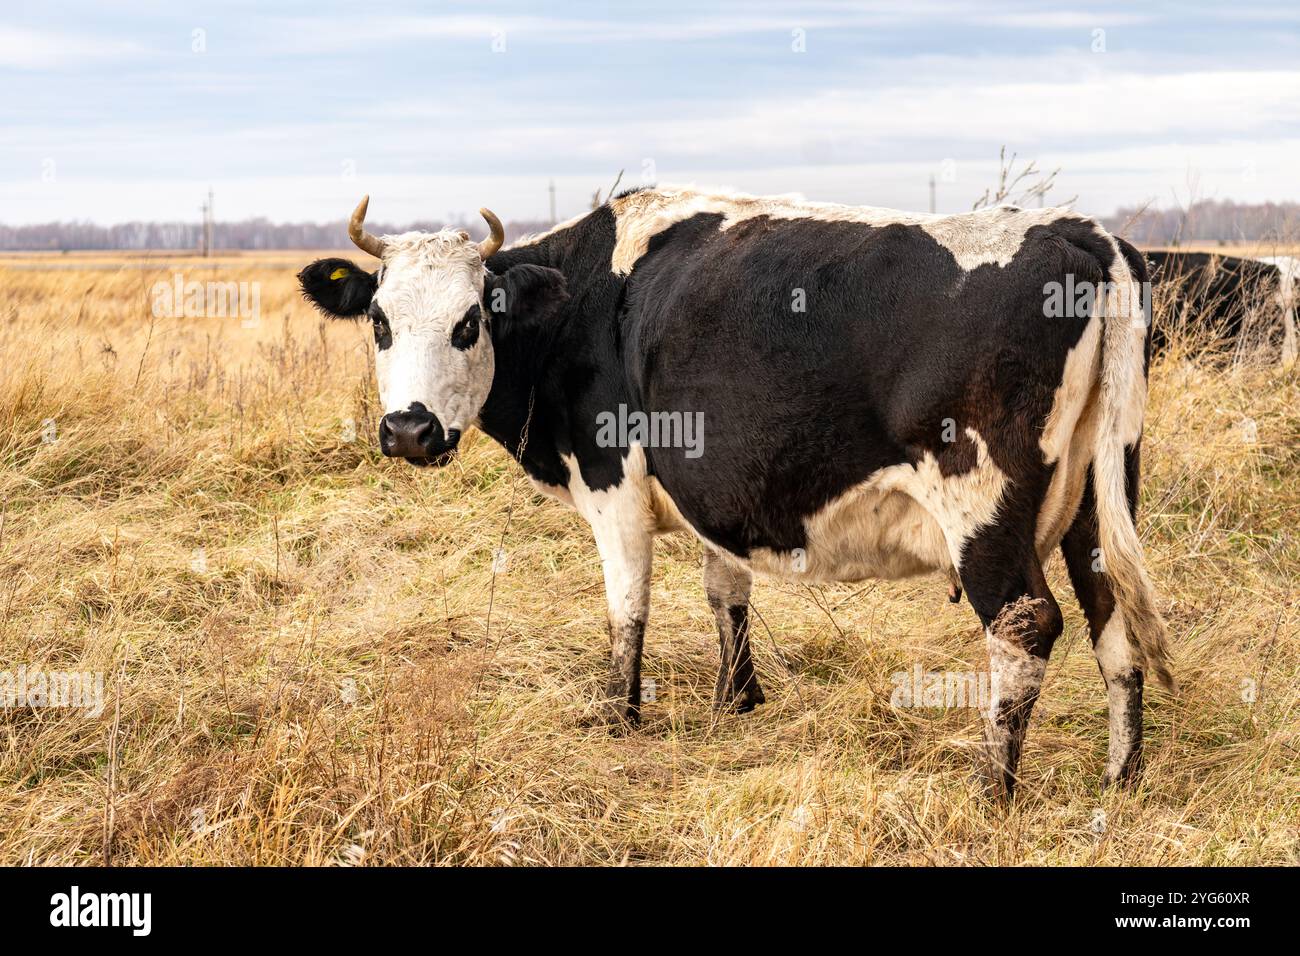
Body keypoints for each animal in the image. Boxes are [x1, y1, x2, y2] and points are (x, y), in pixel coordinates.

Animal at [298, 187, 1176, 800]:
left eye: (470, 321)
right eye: (379, 320)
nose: (410, 430)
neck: (583, 300)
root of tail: (1084, 232)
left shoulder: (614, 482)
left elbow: (628, 608)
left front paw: (620, 716)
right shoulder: (717, 493)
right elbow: (726, 590)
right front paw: (736, 702)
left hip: (982, 504)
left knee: (1026, 624)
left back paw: (993, 789)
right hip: (1100, 492)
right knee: (1113, 615)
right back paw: (1122, 776)